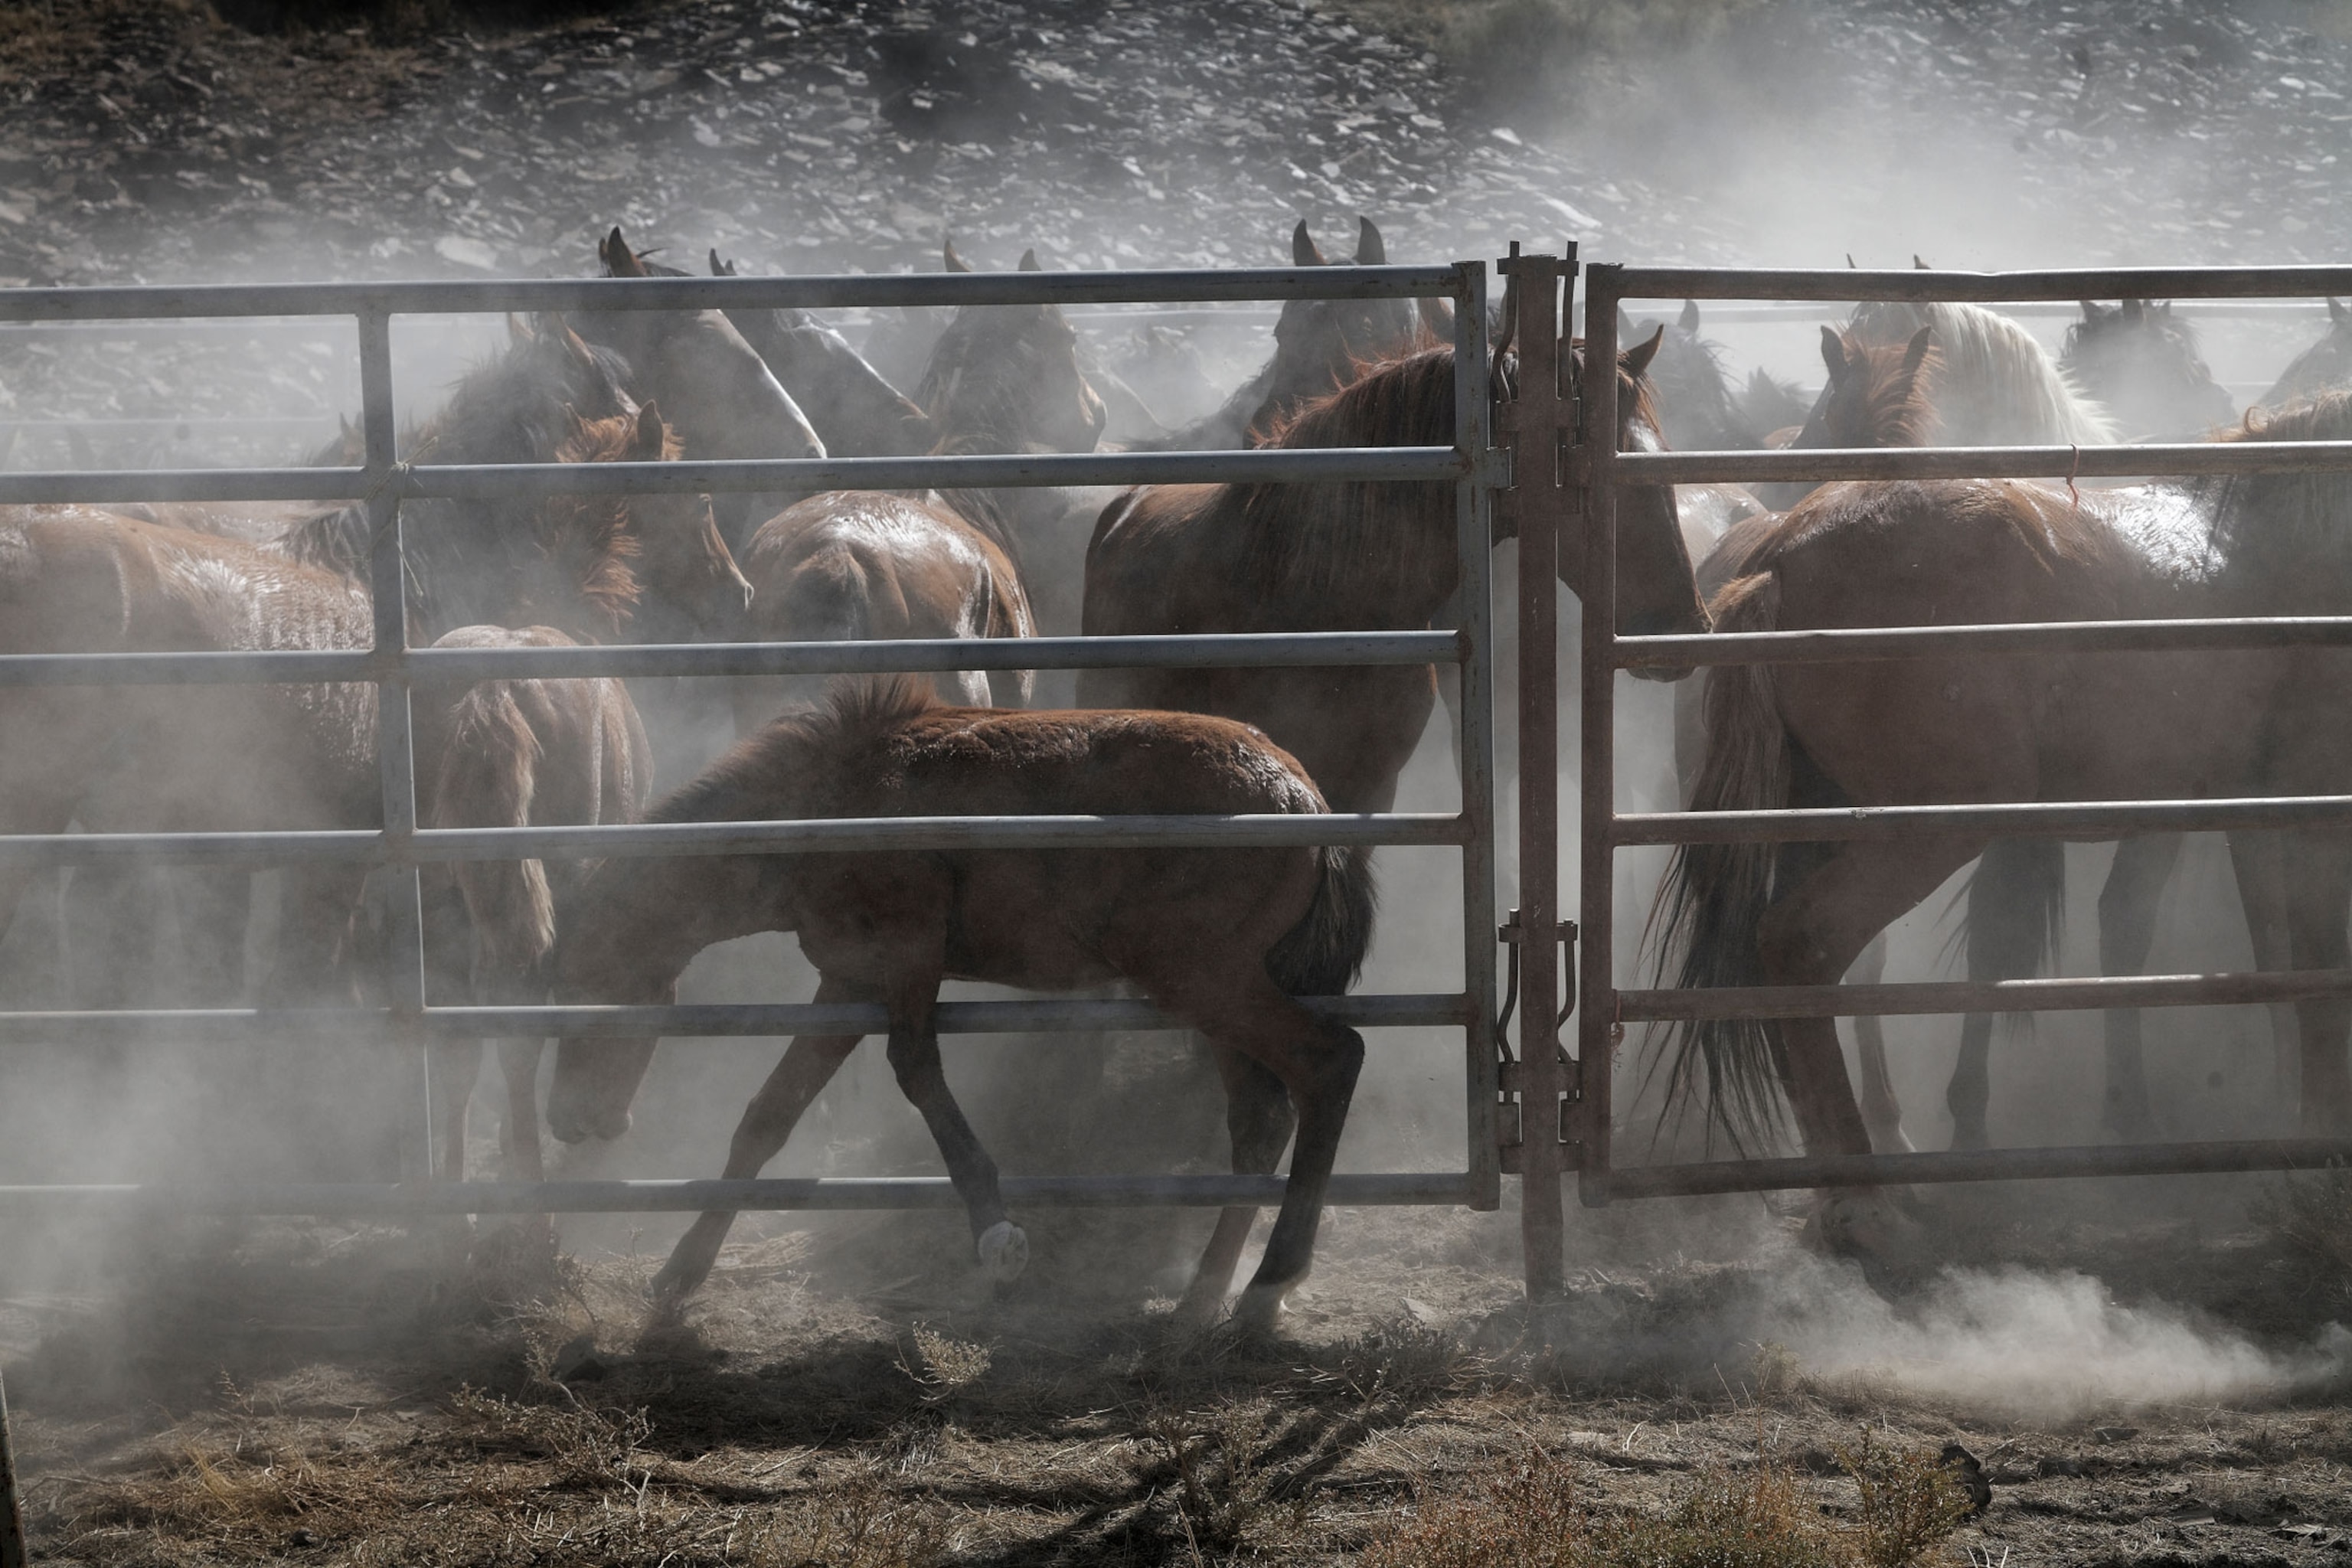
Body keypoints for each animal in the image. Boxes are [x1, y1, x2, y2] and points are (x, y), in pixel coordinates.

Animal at [541, 676, 1375, 1331]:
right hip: (1214, 996)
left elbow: (915, 1071)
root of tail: (1304, 801)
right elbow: (769, 1115)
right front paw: (681, 1272)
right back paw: (1208, 1294)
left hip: (1205, 980)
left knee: (1330, 1062)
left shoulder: (905, 957)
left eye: (589, 988)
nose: (571, 1119)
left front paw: (996, 1233)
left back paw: (1270, 1282)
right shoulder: (849, 979)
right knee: (1261, 1119)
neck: (830, 802)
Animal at [1653, 394, 2352, 1255]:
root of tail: (1782, 555)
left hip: (1815, 826)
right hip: (1928, 831)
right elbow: (2316, 971)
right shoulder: (2310, 809)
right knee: (1804, 941)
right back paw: (1863, 1198)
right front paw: (2317, 1140)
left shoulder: (2244, 811)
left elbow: (2267, 958)